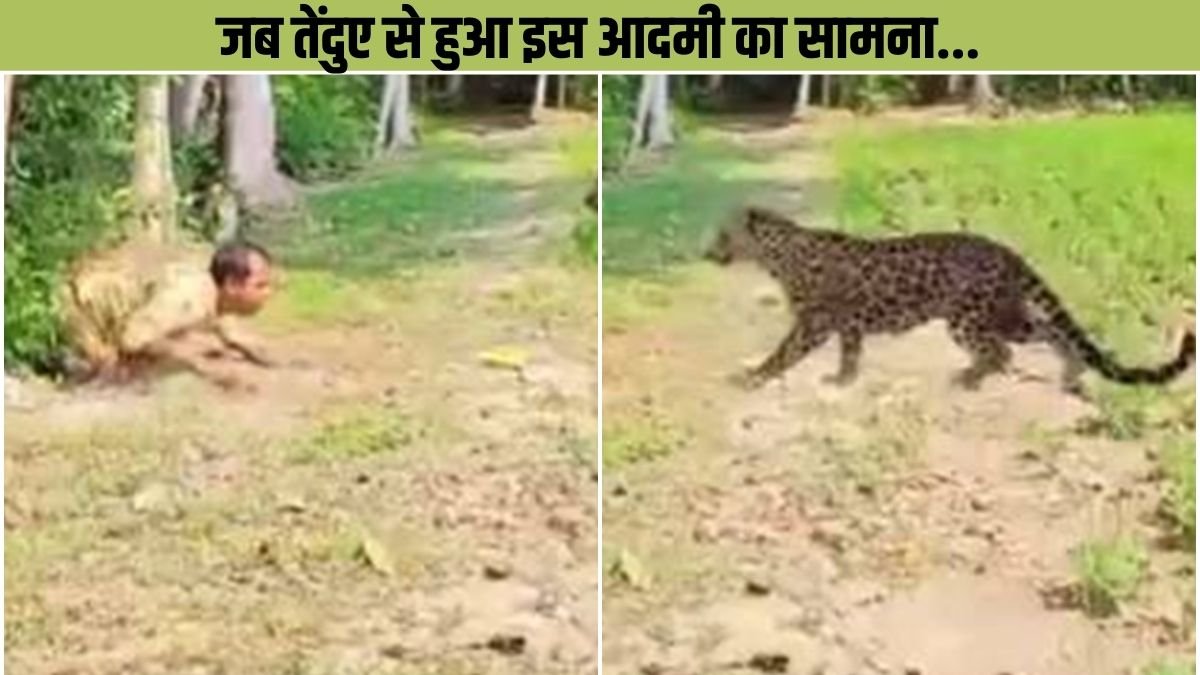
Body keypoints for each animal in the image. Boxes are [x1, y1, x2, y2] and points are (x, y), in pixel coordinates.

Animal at [704, 205, 1195, 395]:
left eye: (723, 235)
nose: (708, 252)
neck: (776, 253)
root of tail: (1005, 250)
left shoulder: (814, 322)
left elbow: (782, 353)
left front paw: (752, 377)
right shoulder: (847, 324)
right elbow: (851, 352)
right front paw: (844, 379)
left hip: (968, 316)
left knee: (1003, 349)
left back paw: (971, 378)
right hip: (1004, 311)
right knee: (1045, 331)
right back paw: (1069, 372)